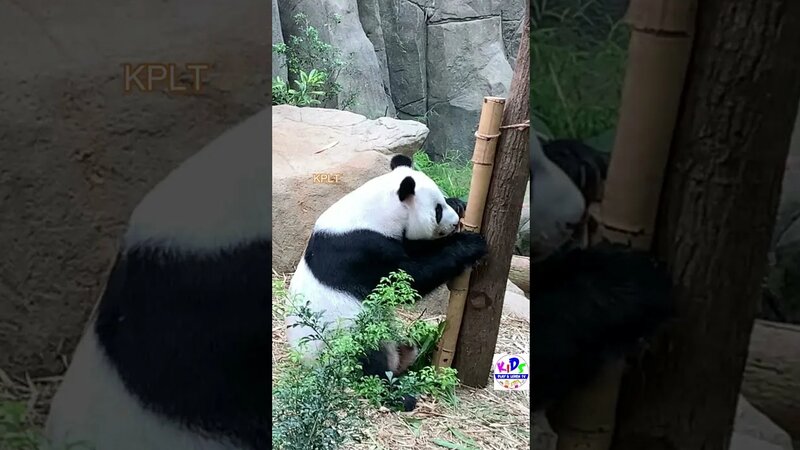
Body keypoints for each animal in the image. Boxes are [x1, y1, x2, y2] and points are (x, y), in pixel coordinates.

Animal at [285, 154, 487, 409]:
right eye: (438, 211)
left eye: (442, 201)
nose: (453, 223)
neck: (373, 210)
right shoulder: (362, 250)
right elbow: (408, 280)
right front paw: (470, 244)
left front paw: (460, 204)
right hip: (345, 340)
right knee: (368, 359)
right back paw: (398, 394)